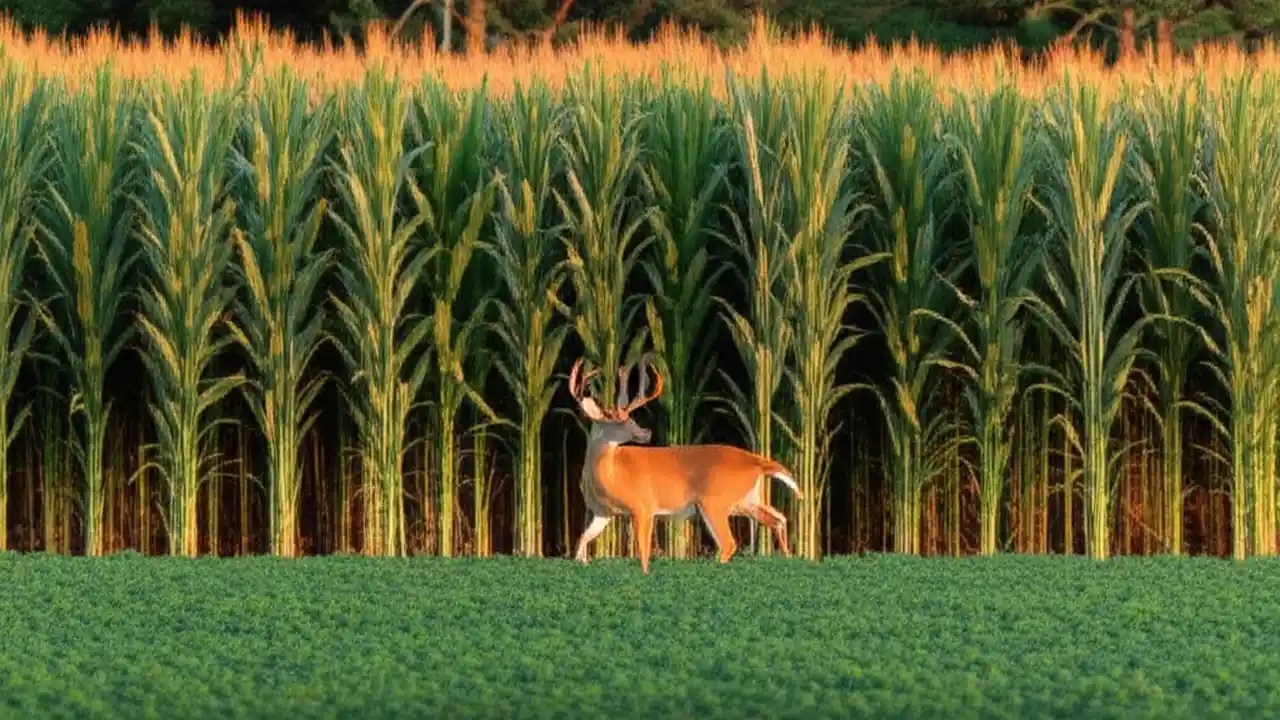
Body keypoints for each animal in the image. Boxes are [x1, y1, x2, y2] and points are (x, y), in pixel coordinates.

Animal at [568, 353, 803, 574]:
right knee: (779, 518)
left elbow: (643, 553)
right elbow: (581, 541)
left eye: (630, 418)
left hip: (714, 501)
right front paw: (583, 563)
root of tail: (757, 462)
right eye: (618, 421)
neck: (610, 474)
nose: (646, 433)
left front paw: (645, 574)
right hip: (746, 500)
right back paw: (788, 559)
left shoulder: (643, 506)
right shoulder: (603, 512)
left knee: (729, 543)